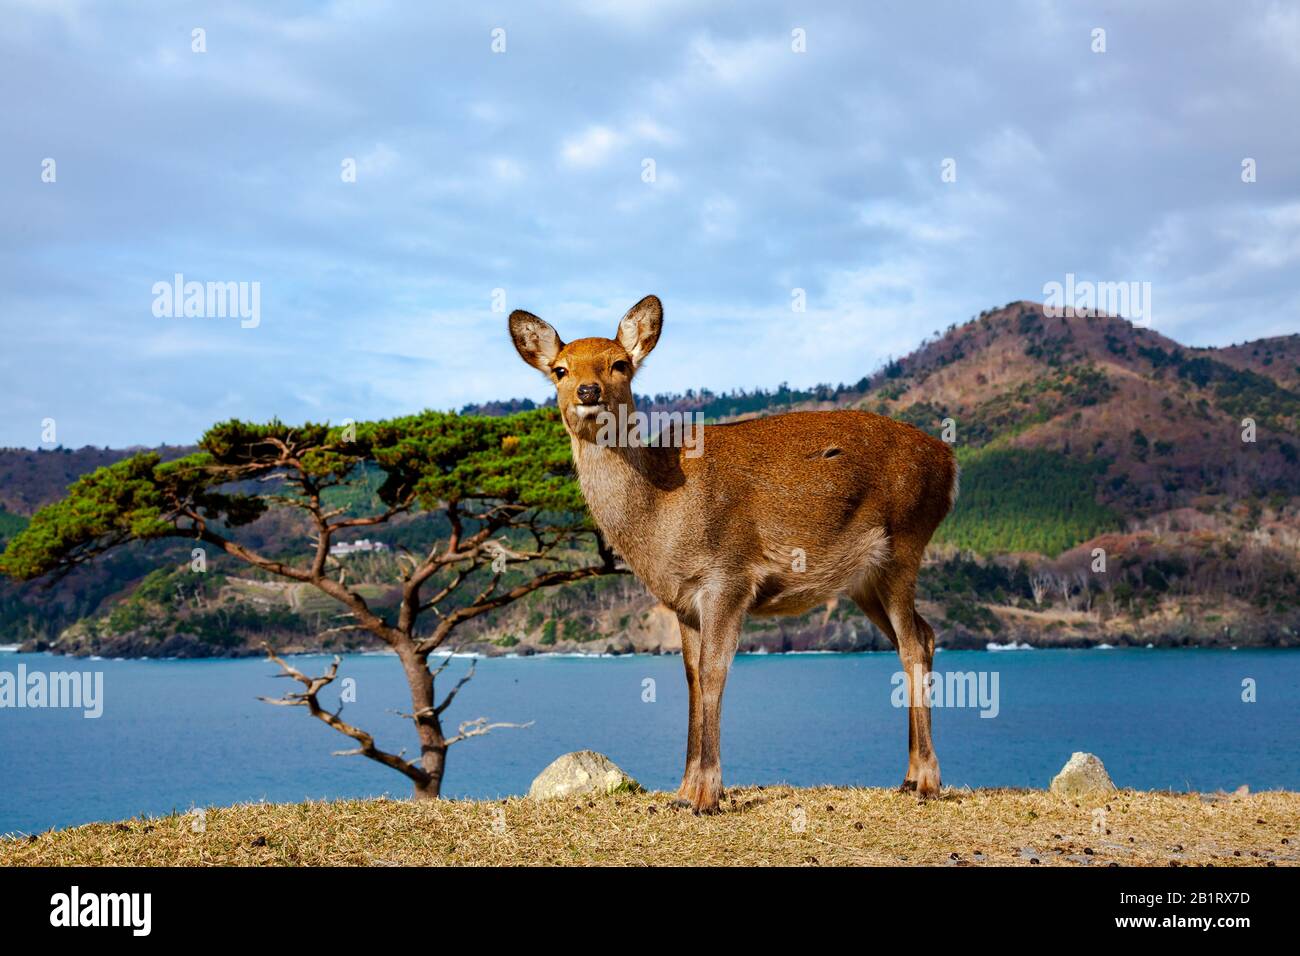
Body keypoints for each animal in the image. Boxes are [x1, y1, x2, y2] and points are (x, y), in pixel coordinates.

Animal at [509, 295, 958, 813]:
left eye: (619, 363)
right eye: (559, 369)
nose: (587, 390)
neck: (660, 518)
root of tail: (950, 464)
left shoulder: (729, 575)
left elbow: (714, 671)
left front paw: (708, 794)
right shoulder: (682, 600)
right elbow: (691, 677)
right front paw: (683, 791)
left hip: (905, 542)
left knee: (913, 643)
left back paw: (927, 780)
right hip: (866, 579)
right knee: (924, 635)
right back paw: (908, 776)